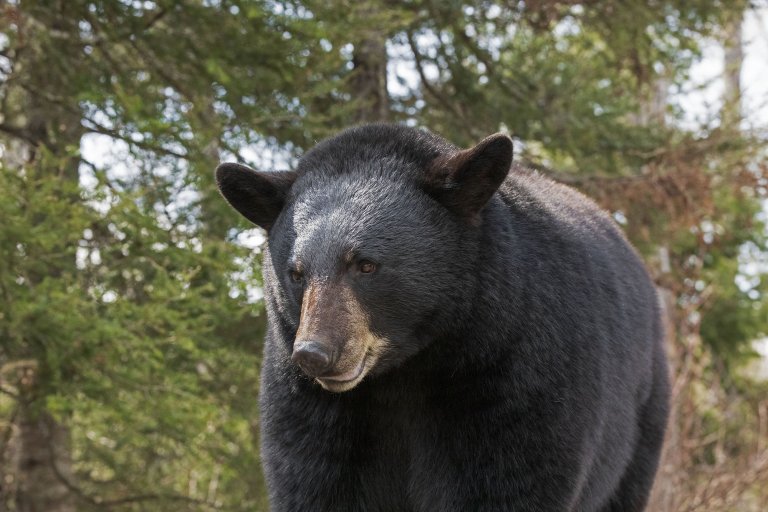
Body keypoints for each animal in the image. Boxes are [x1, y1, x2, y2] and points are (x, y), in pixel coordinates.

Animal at [215, 124, 670, 512]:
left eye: (365, 265)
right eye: (296, 273)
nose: (314, 354)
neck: (406, 371)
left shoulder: (517, 374)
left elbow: (506, 481)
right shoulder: (311, 409)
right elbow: (316, 481)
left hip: (641, 421)